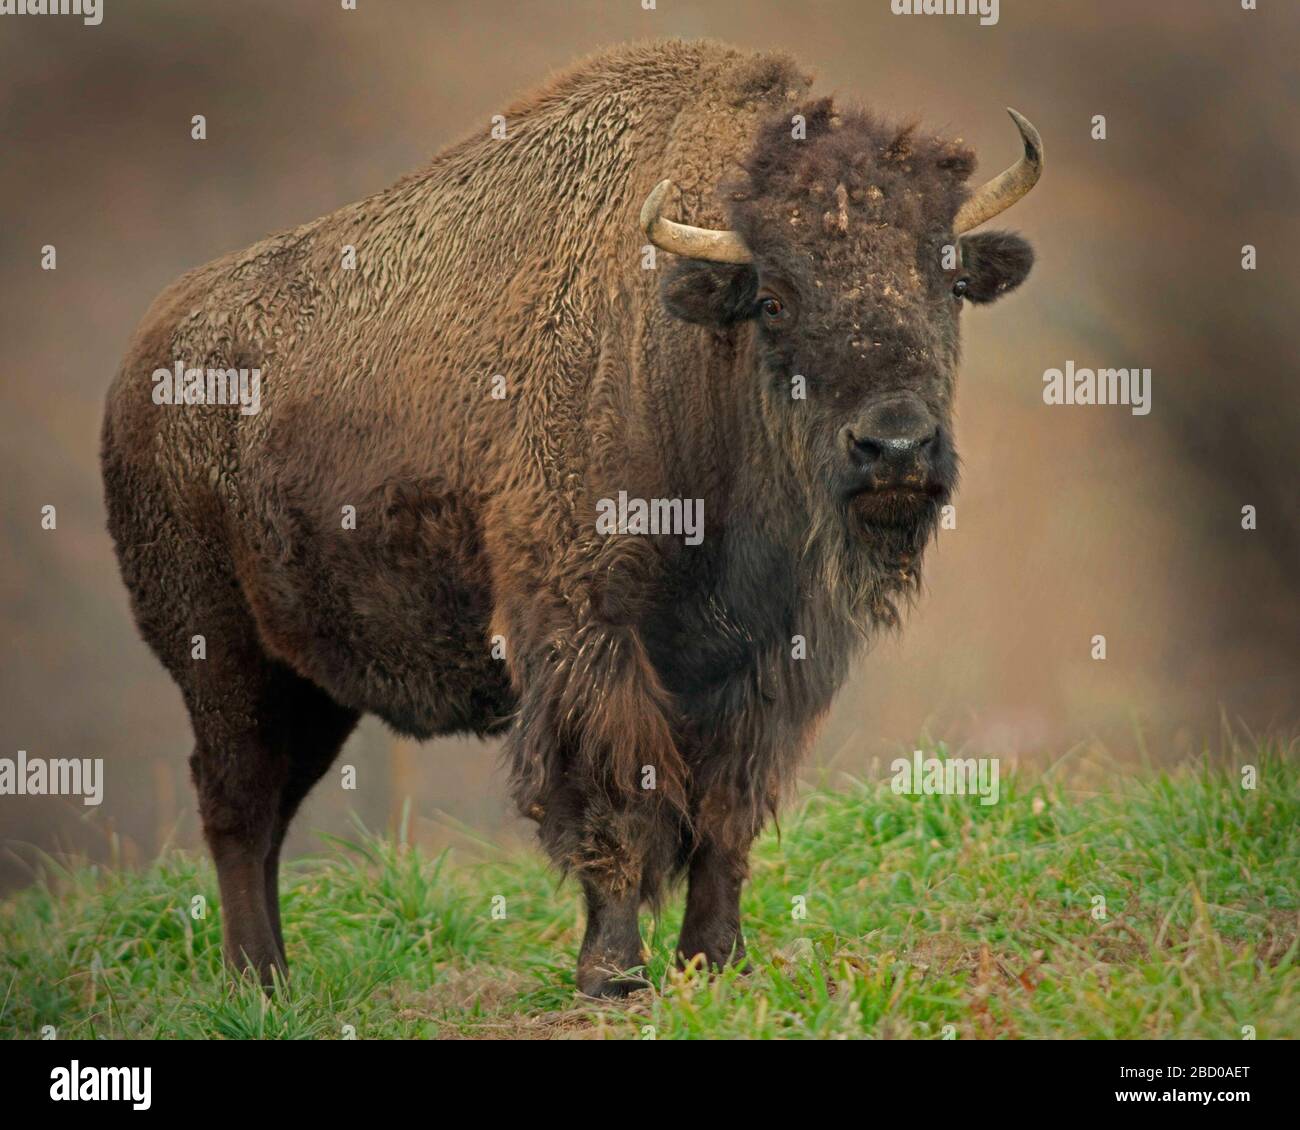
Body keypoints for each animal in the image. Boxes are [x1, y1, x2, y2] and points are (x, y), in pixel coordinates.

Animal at [101, 39, 1040, 997]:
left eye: (948, 279)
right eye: (774, 299)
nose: (895, 446)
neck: (686, 359)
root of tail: (141, 367)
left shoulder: (766, 659)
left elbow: (726, 812)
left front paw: (718, 958)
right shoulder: (589, 631)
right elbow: (616, 794)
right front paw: (614, 974)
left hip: (313, 684)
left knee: (270, 806)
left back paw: (276, 979)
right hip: (220, 659)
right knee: (238, 806)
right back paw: (258, 982)